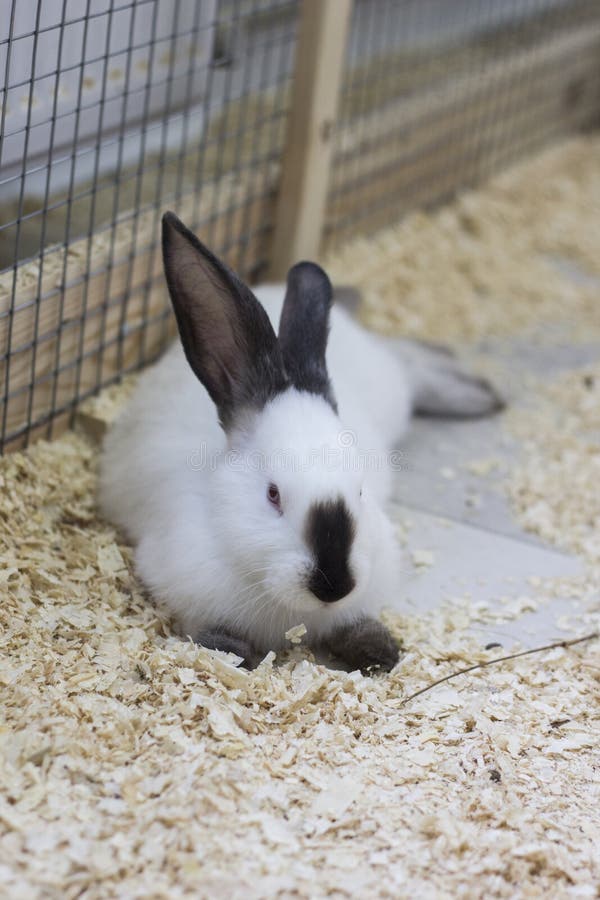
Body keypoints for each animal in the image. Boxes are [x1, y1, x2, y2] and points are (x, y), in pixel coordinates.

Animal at [99, 212, 503, 673]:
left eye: (361, 490)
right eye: (273, 495)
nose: (334, 586)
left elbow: (359, 626)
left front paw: (380, 650)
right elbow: (214, 637)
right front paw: (232, 652)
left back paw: (479, 393)